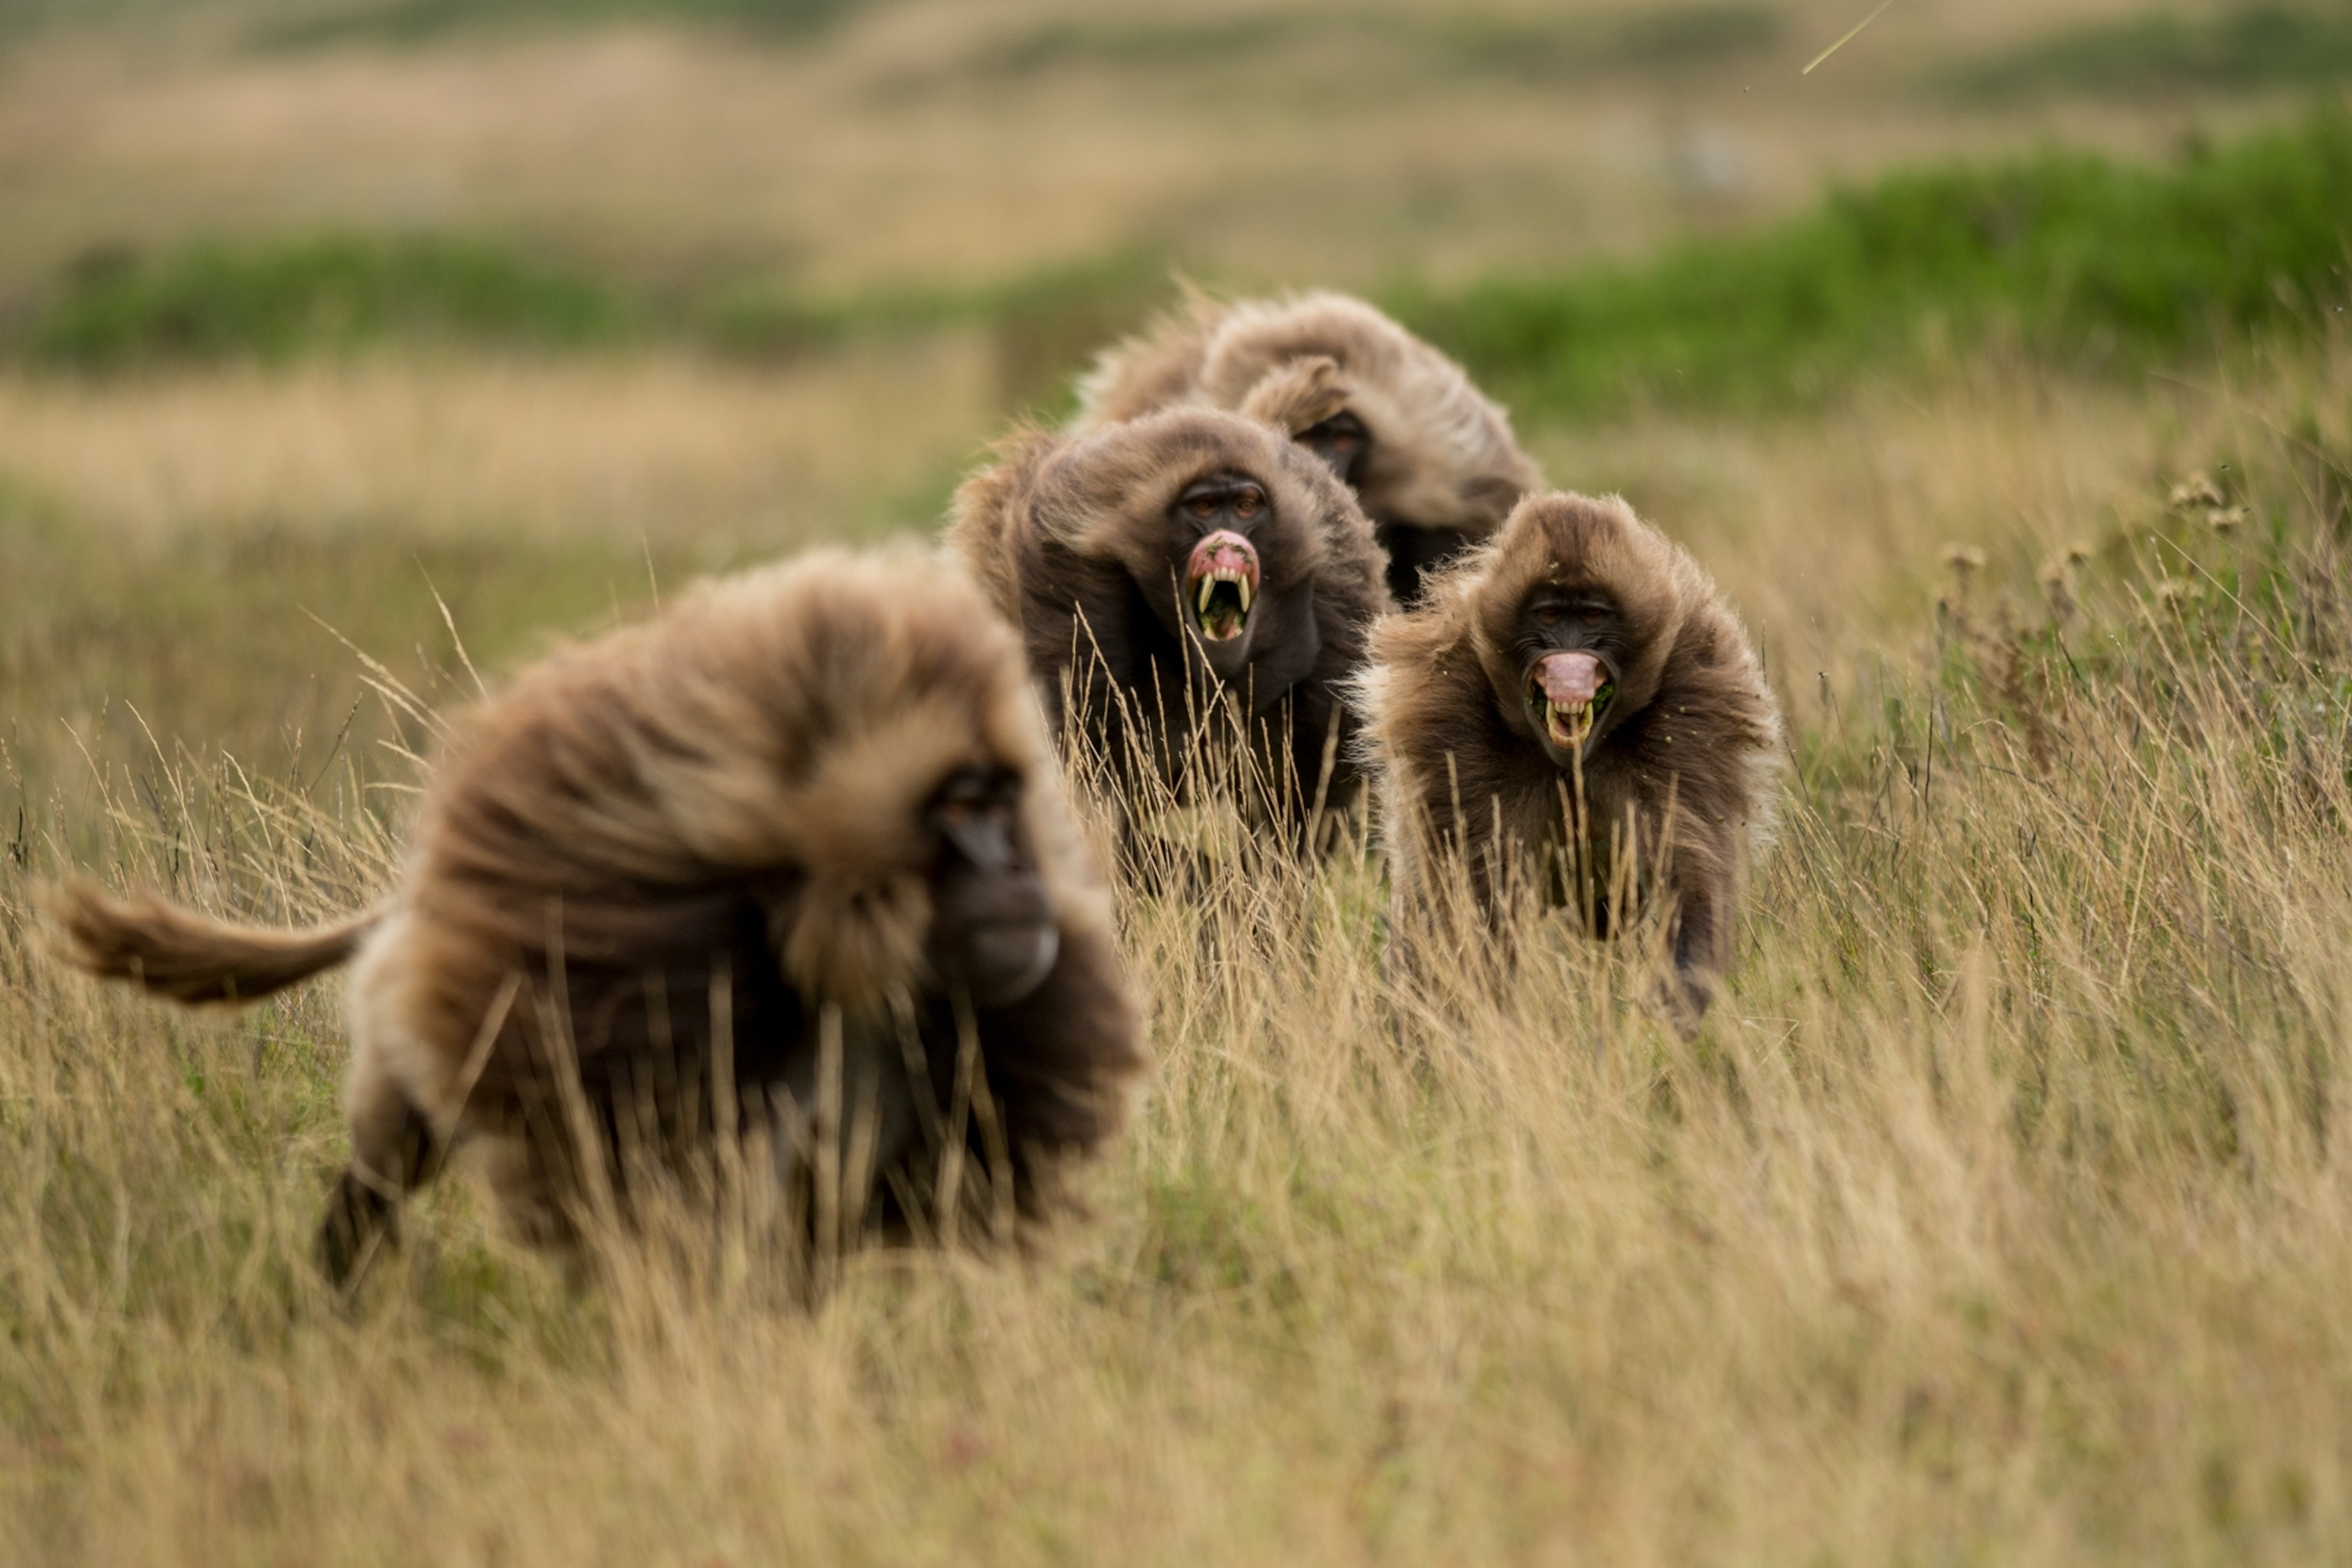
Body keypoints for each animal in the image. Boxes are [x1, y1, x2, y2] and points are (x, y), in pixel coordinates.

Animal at [48, 547, 1147, 1286]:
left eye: (1001, 802)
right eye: (960, 811)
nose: (1024, 879)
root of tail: (413, 899)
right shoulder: (670, 986)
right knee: (388, 1163)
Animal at [945, 403, 1391, 850]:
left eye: (1246, 507)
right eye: (1205, 507)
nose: (1229, 543)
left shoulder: (1338, 585)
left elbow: (1303, 811)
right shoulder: (1069, 576)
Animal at [1355, 492, 1782, 1030]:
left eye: (1594, 618)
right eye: (1551, 617)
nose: (1568, 655)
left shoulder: (1690, 708)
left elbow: (1690, 860)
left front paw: (1676, 999)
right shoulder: (1450, 717)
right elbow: (1468, 895)